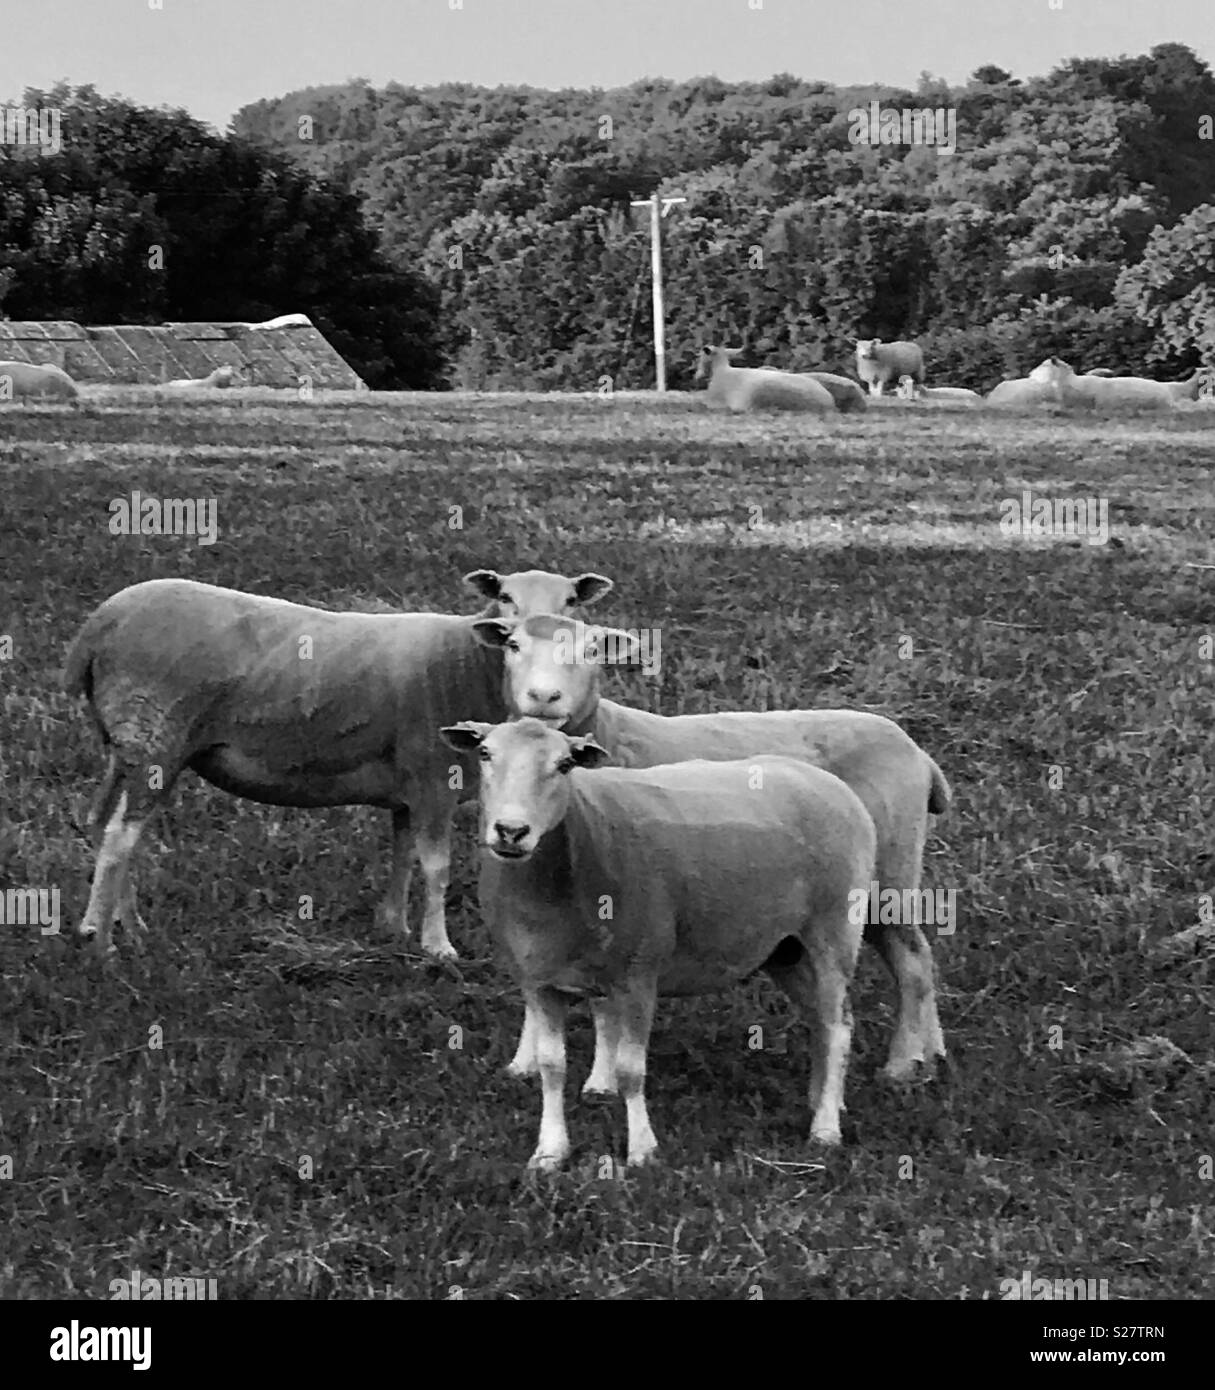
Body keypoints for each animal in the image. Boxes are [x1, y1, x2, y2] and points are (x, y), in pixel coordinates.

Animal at [62, 570, 611, 958]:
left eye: (571, 602)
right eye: (505, 599)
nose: (543, 694)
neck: (467, 663)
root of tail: (97, 626)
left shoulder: (408, 789)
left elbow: (403, 856)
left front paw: (394, 926)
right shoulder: (434, 777)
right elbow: (436, 868)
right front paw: (438, 946)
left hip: (130, 745)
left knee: (109, 826)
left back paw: (117, 923)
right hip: (156, 737)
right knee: (120, 837)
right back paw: (107, 945)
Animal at [441, 717, 877, 1169]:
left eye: (564, 765)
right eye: (485, 753)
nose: (512, 831)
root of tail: (829, 783)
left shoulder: (637, 976)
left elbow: (631, 1071)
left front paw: (642, 1151)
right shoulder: (541, 981)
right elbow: (551, 1066)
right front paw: (549, 1152)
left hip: (834, 930)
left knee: (837, 1027)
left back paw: (825, 1129)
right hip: (784, 949)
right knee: (821, 1021)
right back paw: (821, 1100)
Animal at [474, 614, 952, 1086]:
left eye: (591, 650)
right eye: (513, 645)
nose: (543, 696)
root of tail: (918, 754)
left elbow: (603, 1004)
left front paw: (600, 1077)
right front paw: (524, 1062)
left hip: (888, 876)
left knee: (911, 960)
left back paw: (902, 1064)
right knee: (919, 954)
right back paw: (931, 1053)